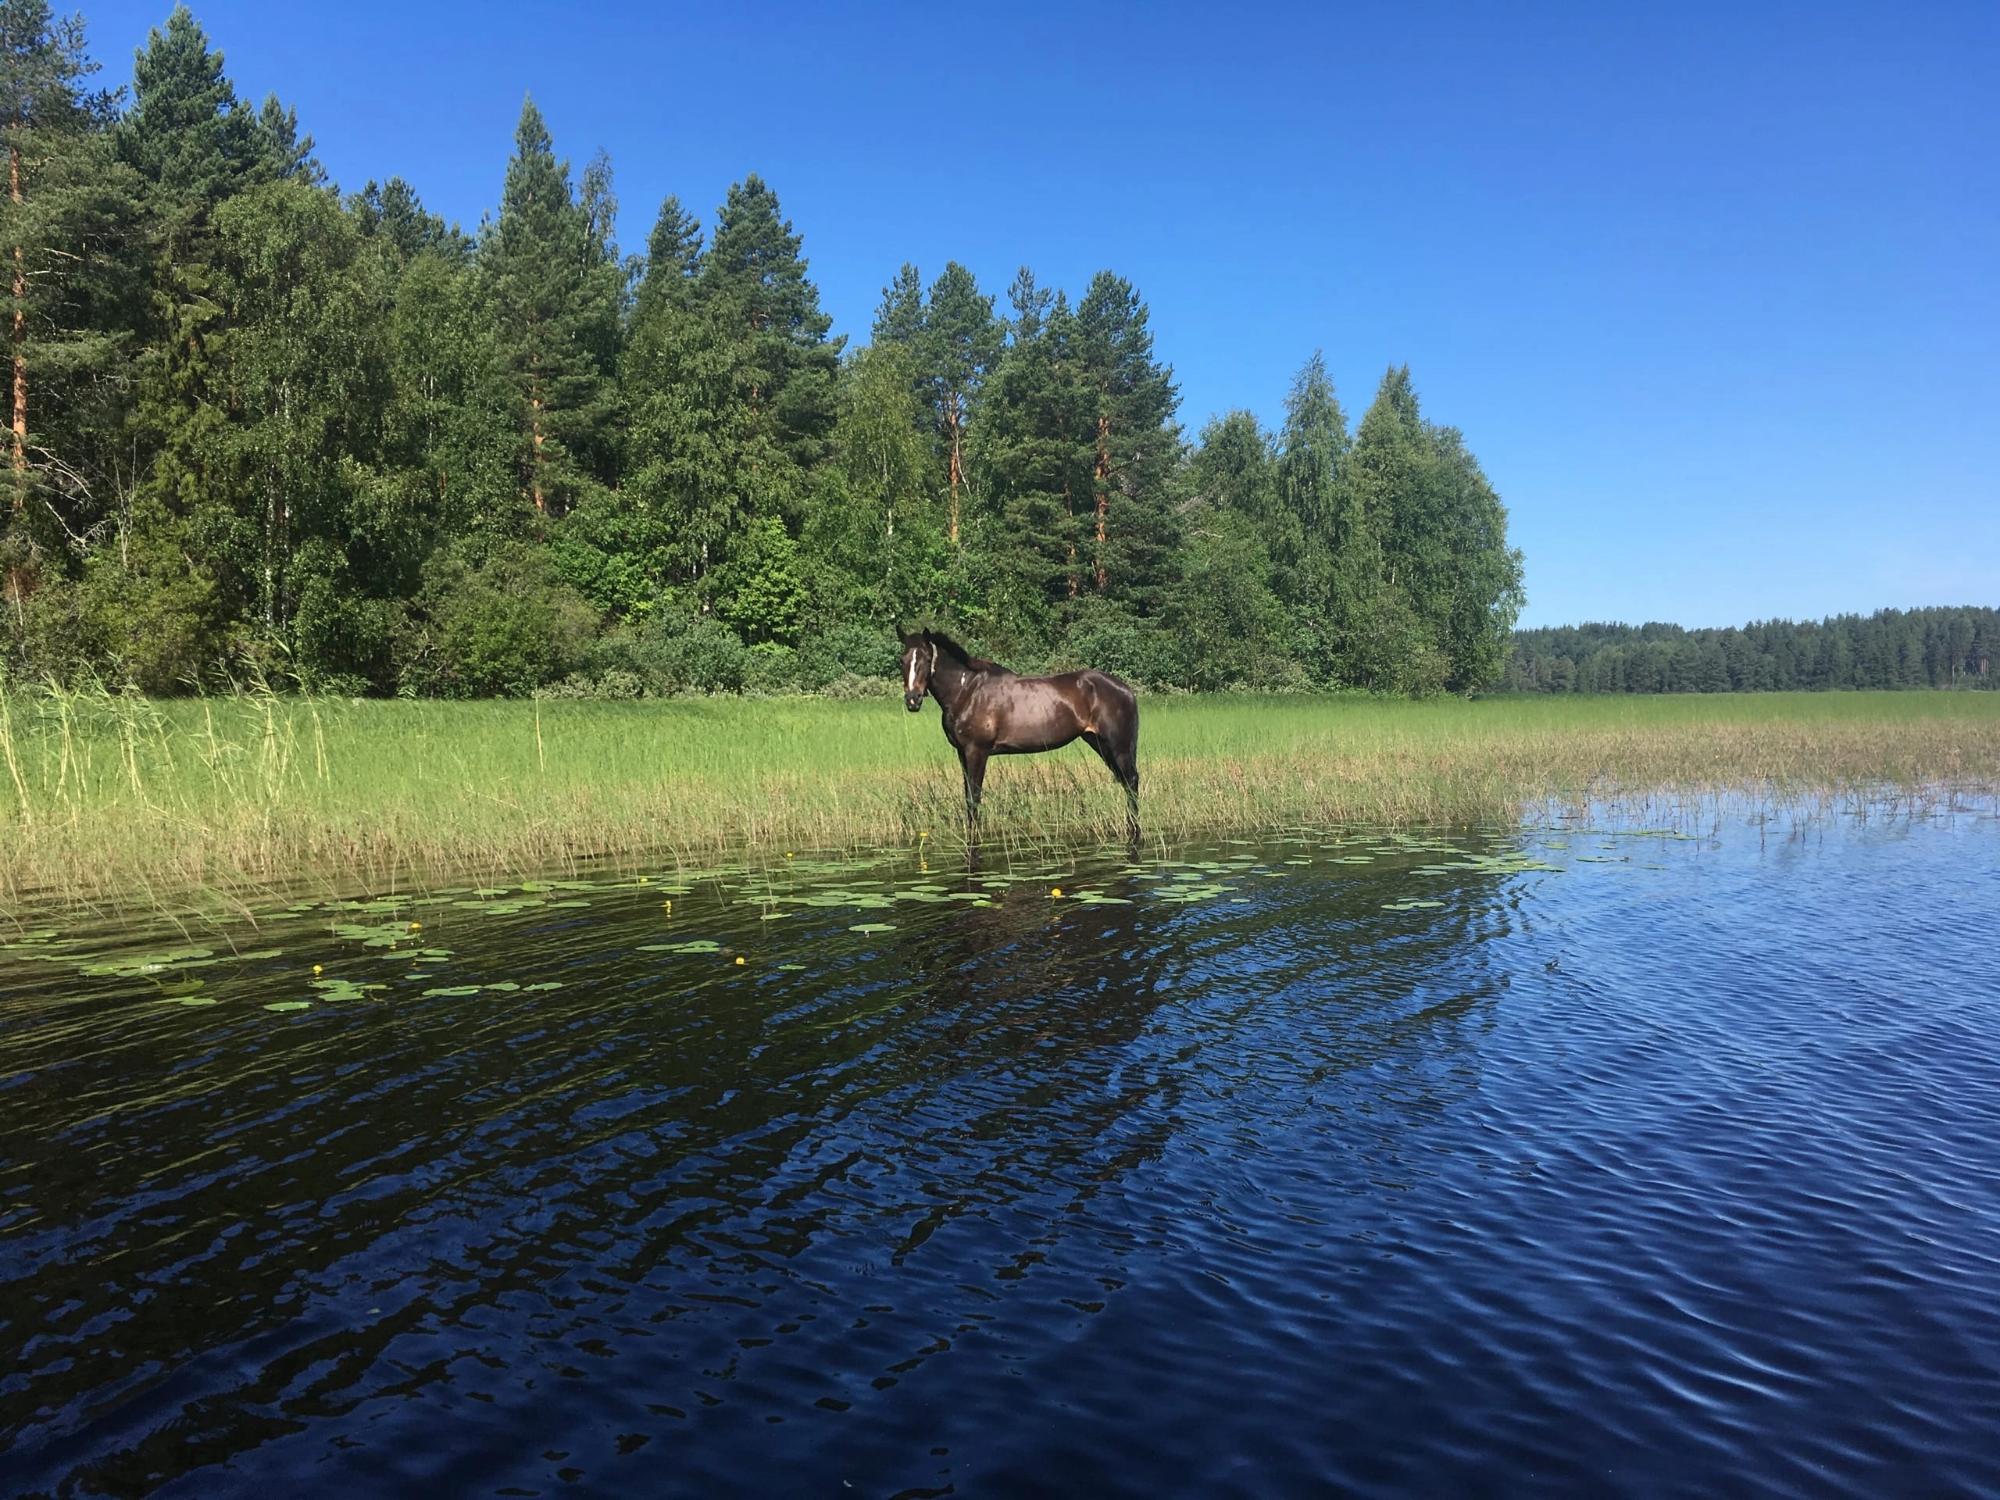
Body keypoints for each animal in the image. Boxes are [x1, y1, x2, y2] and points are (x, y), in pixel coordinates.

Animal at [896, 632, 1136, 840]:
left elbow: (974, 798)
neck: (967, 691)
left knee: (1131, 782)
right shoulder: (962, 753)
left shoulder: (977, 751)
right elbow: (968, 798)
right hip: (1099, 744)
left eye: (927, 659)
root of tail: (1126, 690)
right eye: (903, 659)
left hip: (1118, 746)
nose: (913, 699)